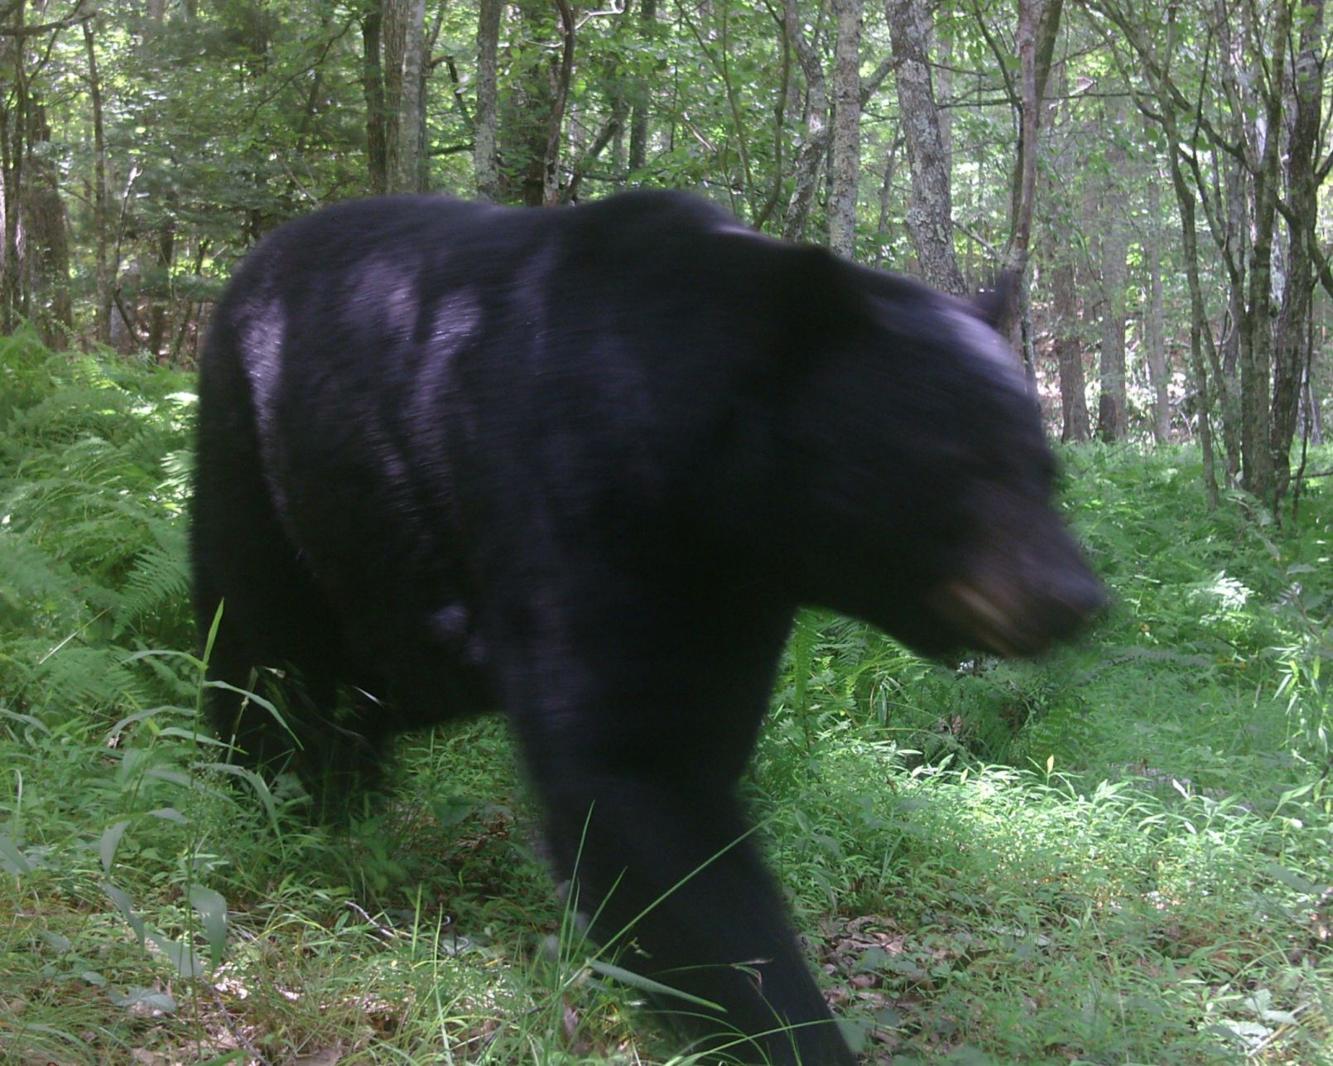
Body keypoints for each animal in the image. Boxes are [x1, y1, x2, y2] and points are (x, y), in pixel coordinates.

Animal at [191, 190, 1103, 1065]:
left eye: (1043, 467)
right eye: (959, 461)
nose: (1074, 596)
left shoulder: (731, 600)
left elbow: (691, 753)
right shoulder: (576, 507)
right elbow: (637, 791)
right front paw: (786, 1024)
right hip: (263, 467)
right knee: (261, 652)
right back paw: (287, 790)